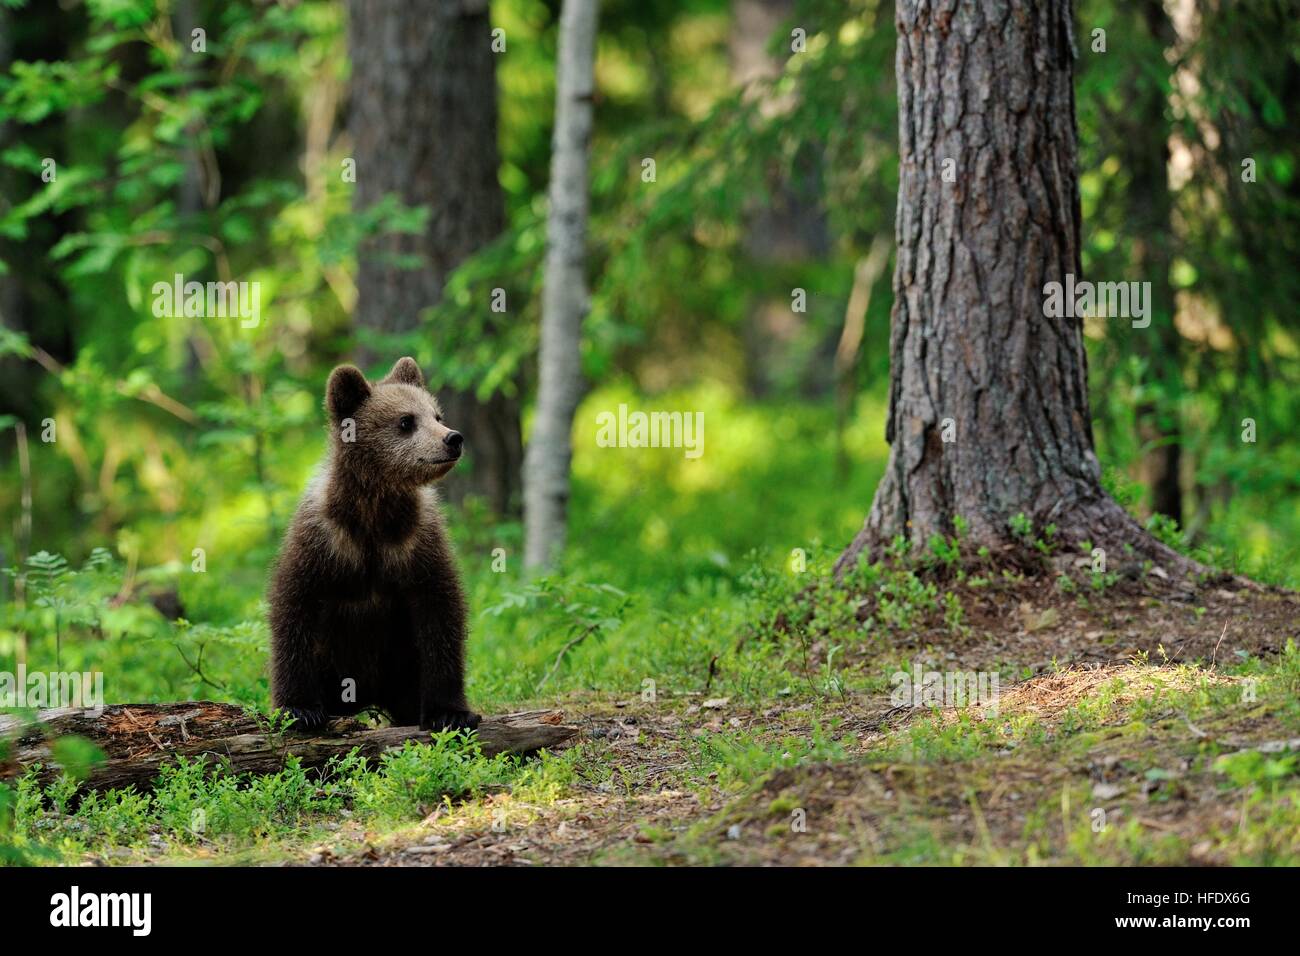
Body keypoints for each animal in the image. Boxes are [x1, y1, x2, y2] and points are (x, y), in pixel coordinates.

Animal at [267, 356, 480, 733]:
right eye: (406, 421)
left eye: (436, 415)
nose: (453, 438)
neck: (373, 512)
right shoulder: (322, 540)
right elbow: (294, 607)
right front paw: (299, 709)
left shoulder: (417, 542)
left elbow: (441, 613)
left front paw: (450, 711)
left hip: (398, 664)